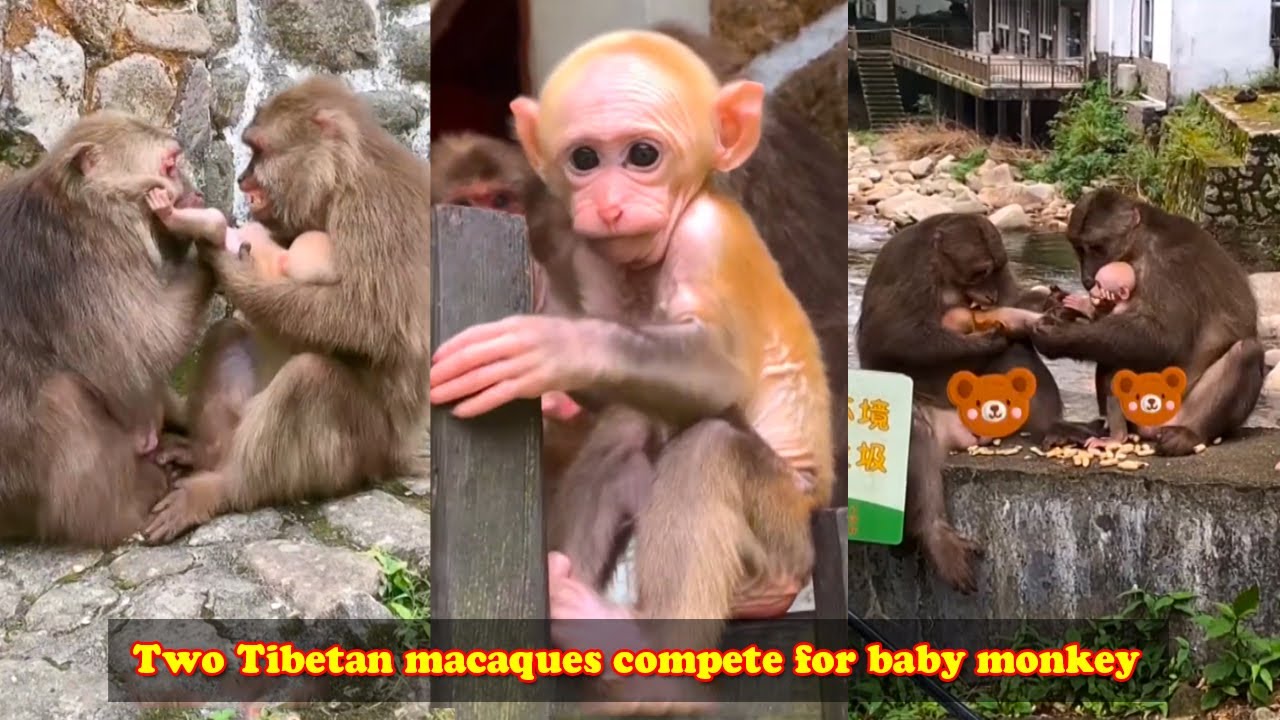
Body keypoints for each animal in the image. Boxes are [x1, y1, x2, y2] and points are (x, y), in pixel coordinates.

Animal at [0, 110, 214, 547]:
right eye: (170, 166)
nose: (195, 192)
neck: (83, 205)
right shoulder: (85, 261)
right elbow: (142, 344)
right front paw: (209, 235)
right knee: (60, 395)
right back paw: (133, 502)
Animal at [141, 75, 433, 543]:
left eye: (259, 151)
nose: (244, 178)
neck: (341, 178)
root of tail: (398, 455)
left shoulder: (374, 211)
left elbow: (371, 321)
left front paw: (227, 263)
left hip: (362, 451)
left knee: (308, 379)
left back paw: (226, 486)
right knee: (229, 337)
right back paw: (205, 454)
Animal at [428, 30, 833, 713]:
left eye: (643, 154)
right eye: (584, 159)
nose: (610, 204)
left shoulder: (707, 235)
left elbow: (718, 369)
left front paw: (553, 347)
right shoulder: (589, 251)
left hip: (784, 539)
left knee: (709, 451)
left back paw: (653, 663)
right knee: (625, 434)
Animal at [856, 213, 1065, 593]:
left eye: (997, 268)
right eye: (980, 272)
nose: (990, 294)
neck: (944, 273)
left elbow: (1017, 310)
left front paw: (1047, 305)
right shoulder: (908, 268)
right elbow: (890, 337)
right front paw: (986, 337)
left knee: (1015, 352)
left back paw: (1053, 429)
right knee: (914, 433)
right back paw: (936, 532)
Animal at [1030, 189, 1265, 456]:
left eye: (1097, 248)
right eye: (1079, 249)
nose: (1088, 279)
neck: (1139, 245)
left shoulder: (1169, 262)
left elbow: (1163, 340)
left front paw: (1058, 336)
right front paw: (1060, 306)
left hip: (1177, 412)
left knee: (1247, 351)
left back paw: (1189, 435)